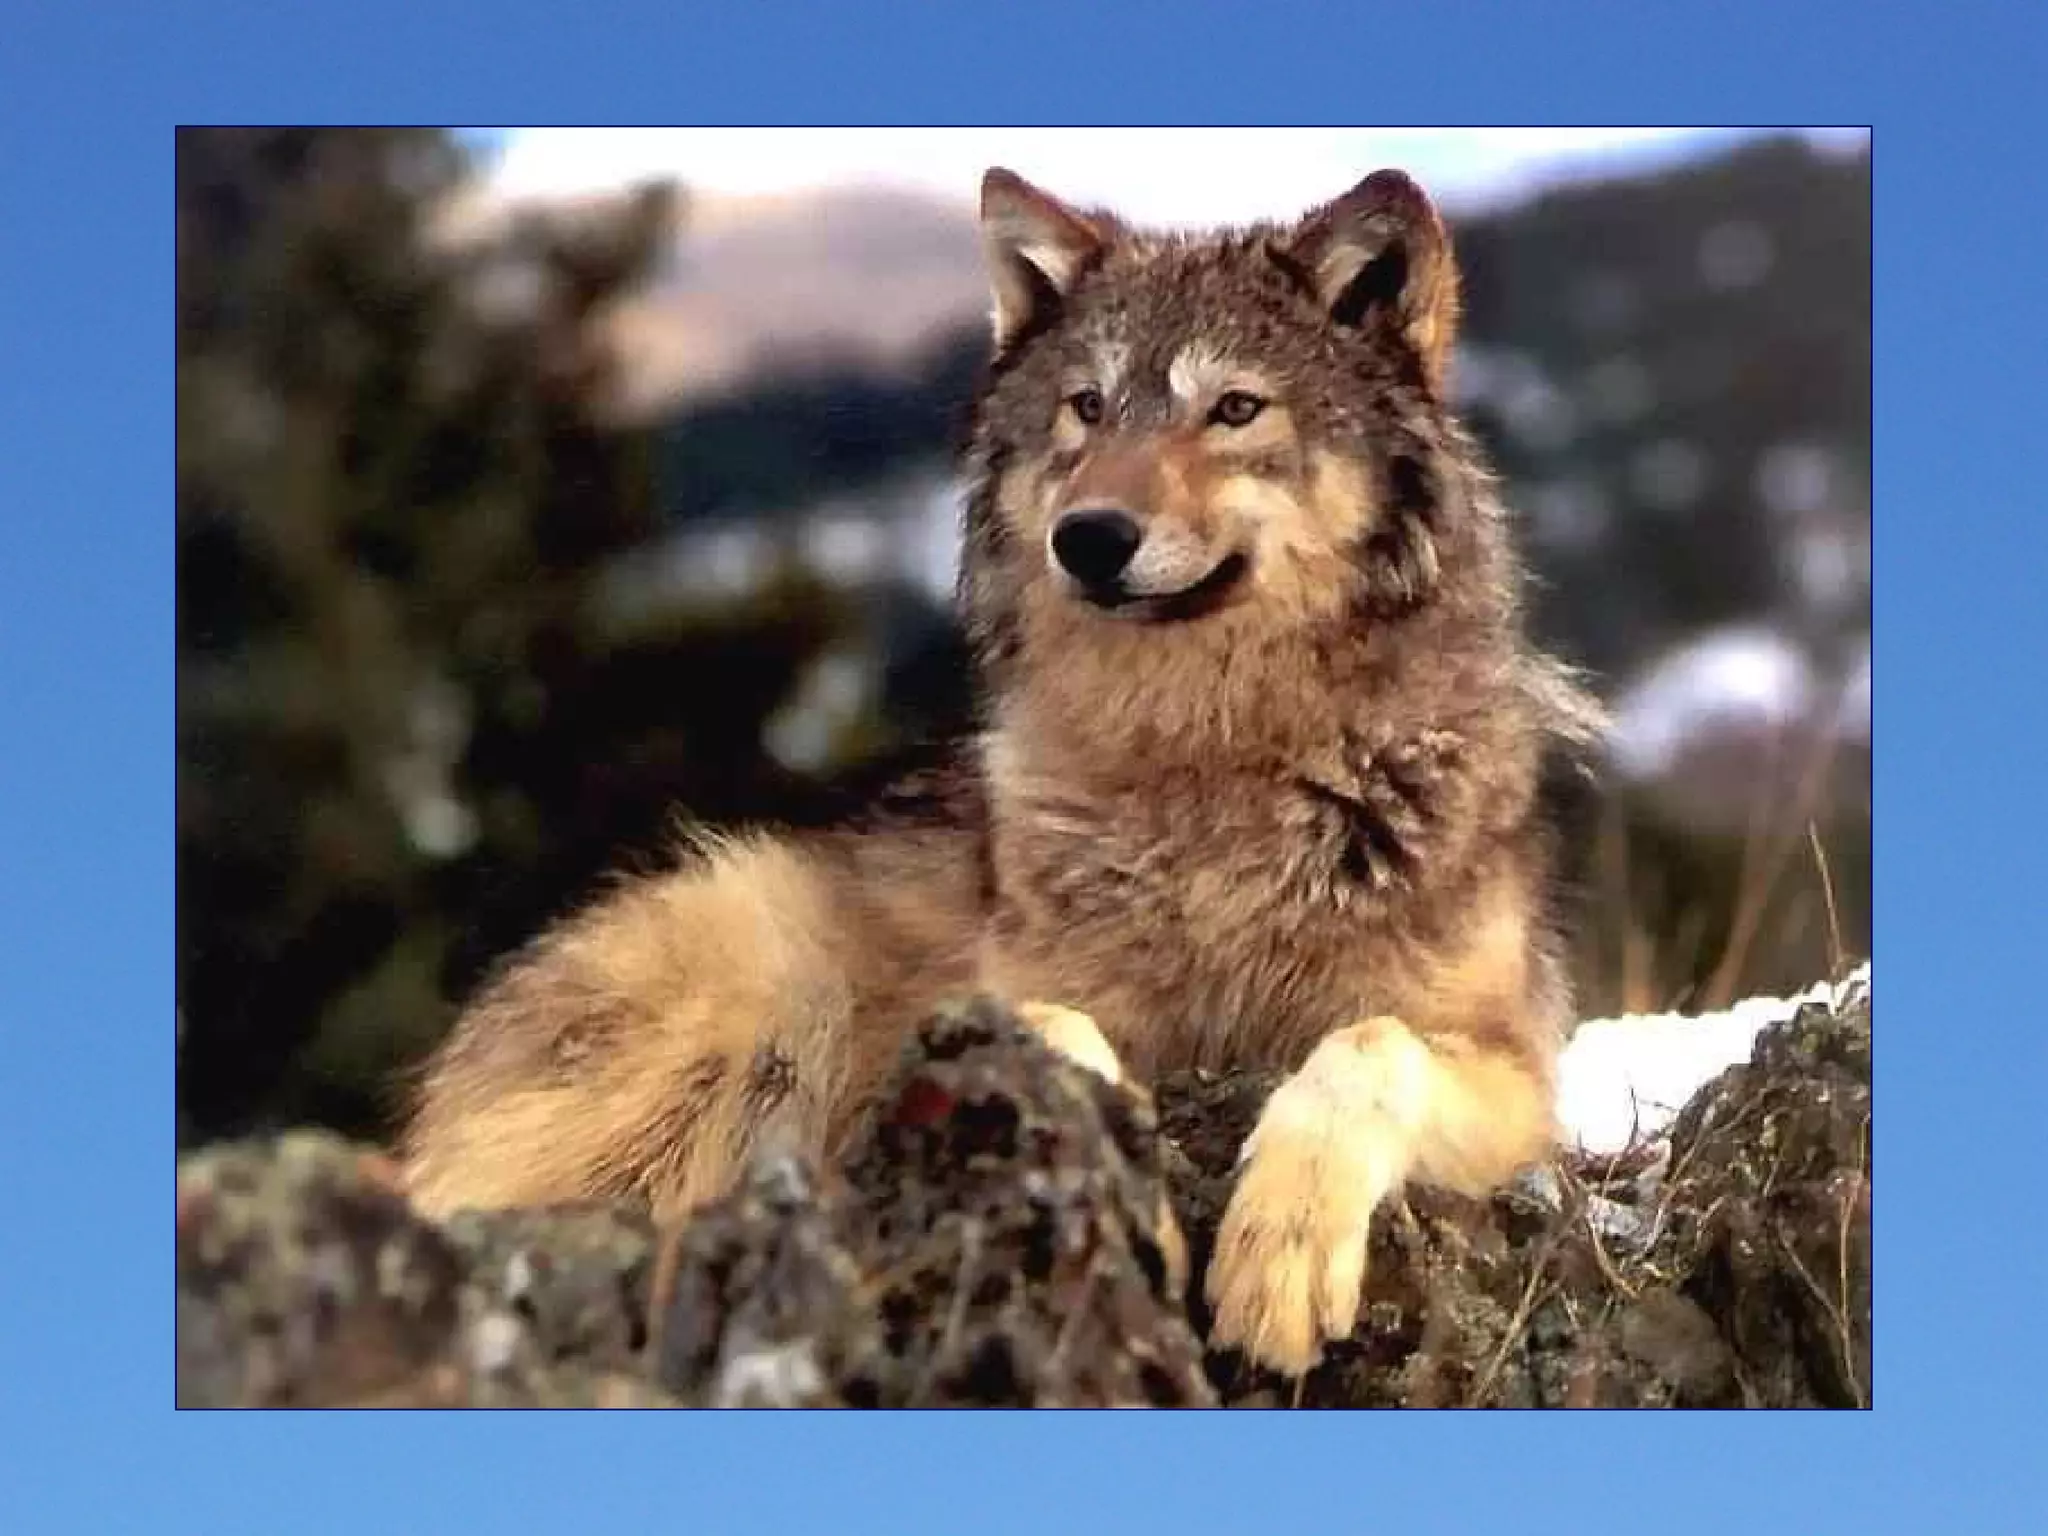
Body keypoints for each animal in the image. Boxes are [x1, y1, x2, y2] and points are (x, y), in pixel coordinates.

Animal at [398, 163, 1603, 1378]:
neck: (1211, 762)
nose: (1091, 536)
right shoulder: (985, 1004)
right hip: (755, 963)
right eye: (1086, 407)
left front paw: (1281, 1249)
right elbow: (1053, 1029)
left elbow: (1368, 1046)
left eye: (1235, 408)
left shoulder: (1515, 1075)